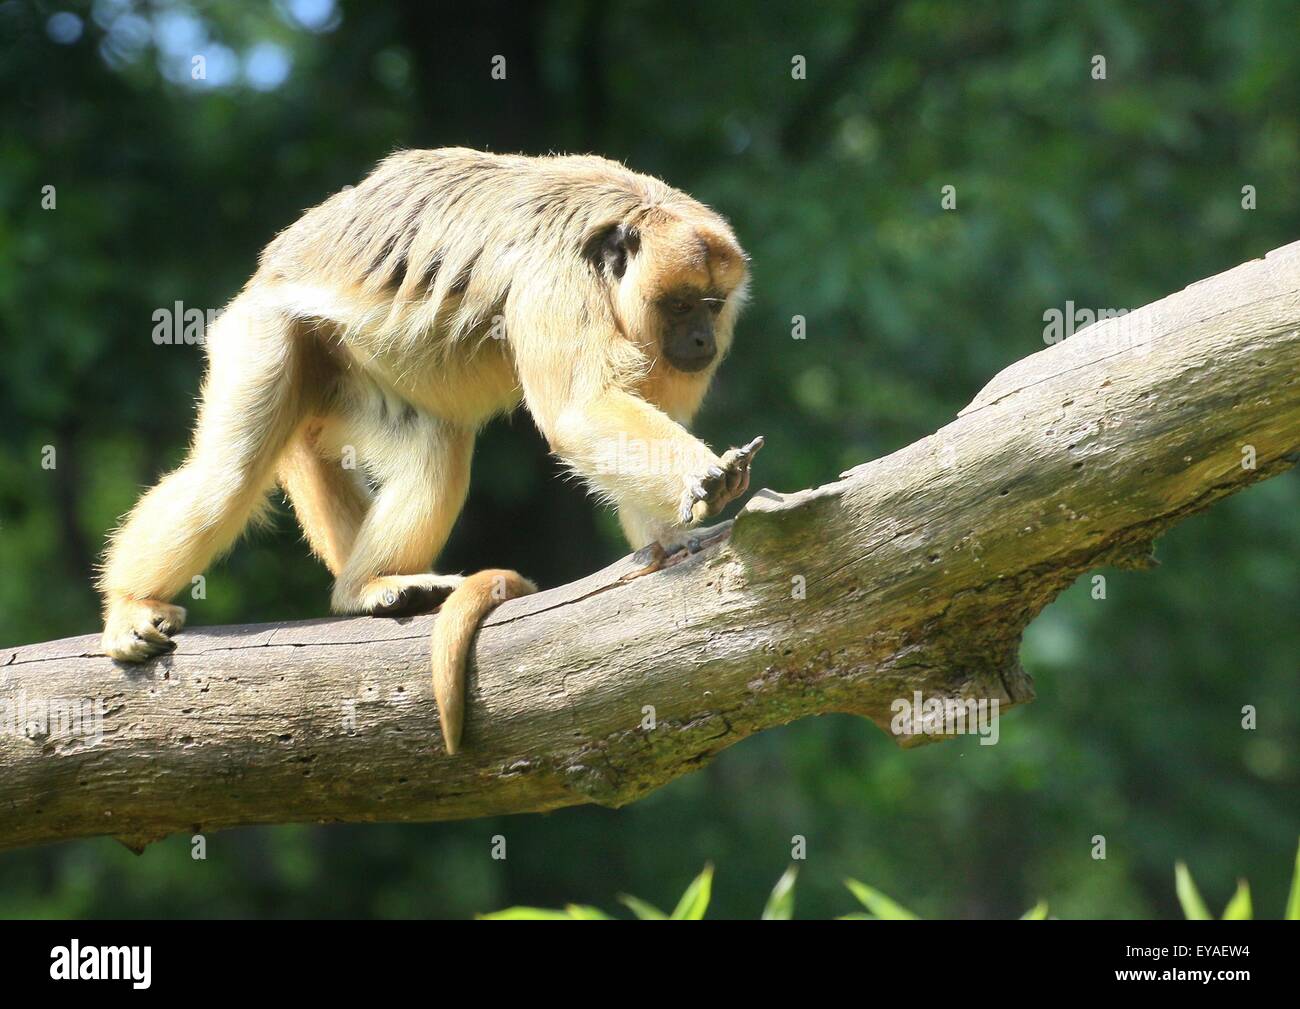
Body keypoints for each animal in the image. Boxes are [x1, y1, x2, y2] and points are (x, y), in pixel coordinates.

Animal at [98, 147, 761, 754]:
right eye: (680, 305)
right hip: (266, 332)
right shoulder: (554, 274)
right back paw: (135, 602)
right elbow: (580, 410)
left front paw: (673, 540)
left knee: (434, 454)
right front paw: (704, 478)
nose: (702, 341)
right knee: (226, 474)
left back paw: (371, 582)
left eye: (712, 306)